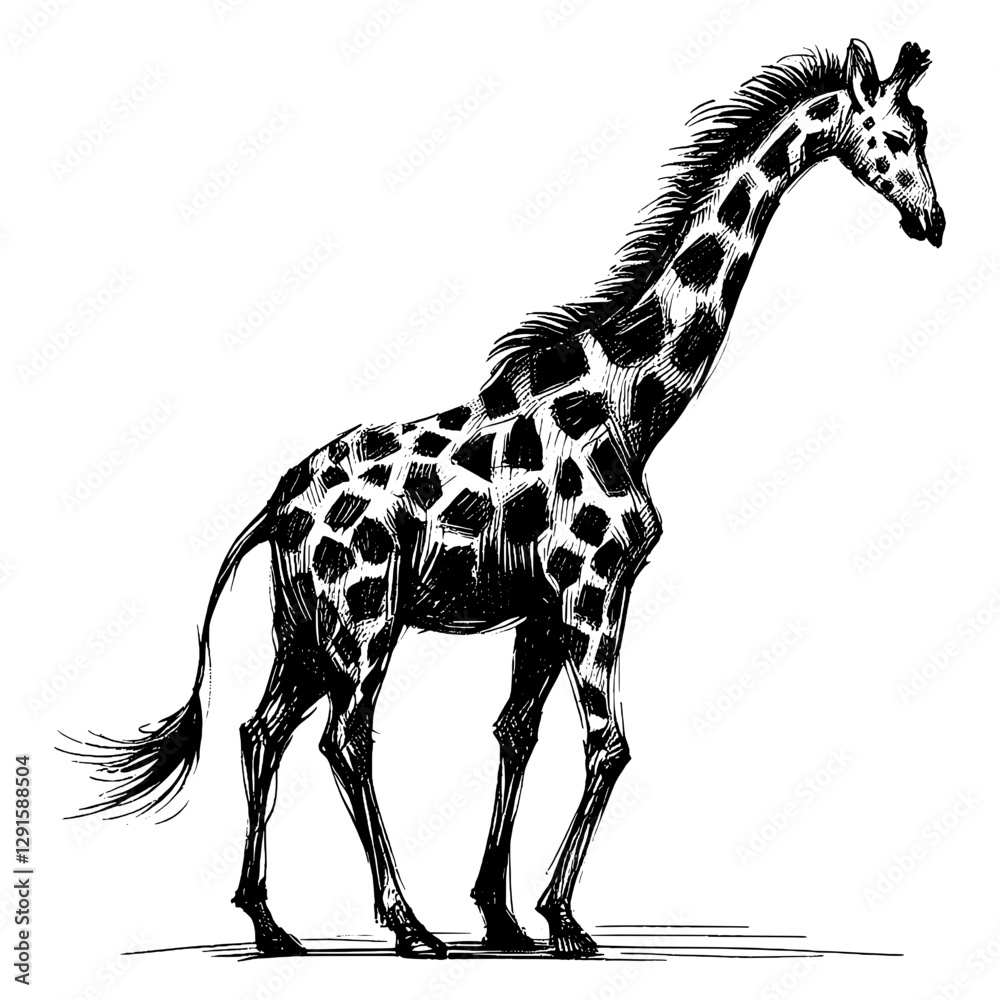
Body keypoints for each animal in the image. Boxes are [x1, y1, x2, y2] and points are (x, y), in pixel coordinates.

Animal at [64, 39, 943, 959]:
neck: (632, 404)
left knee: (262, 731)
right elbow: (608, 744)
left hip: (305, 627)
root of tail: (276, 507)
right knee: (346, 738)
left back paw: (271, 923)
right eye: (897, 135)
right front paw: (562, 919)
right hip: (364, 619)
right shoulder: (593, 589)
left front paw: (503, 914)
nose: (934, 220)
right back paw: (408, 925)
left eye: (922, 132)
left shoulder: (543, 607)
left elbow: (516, 733)